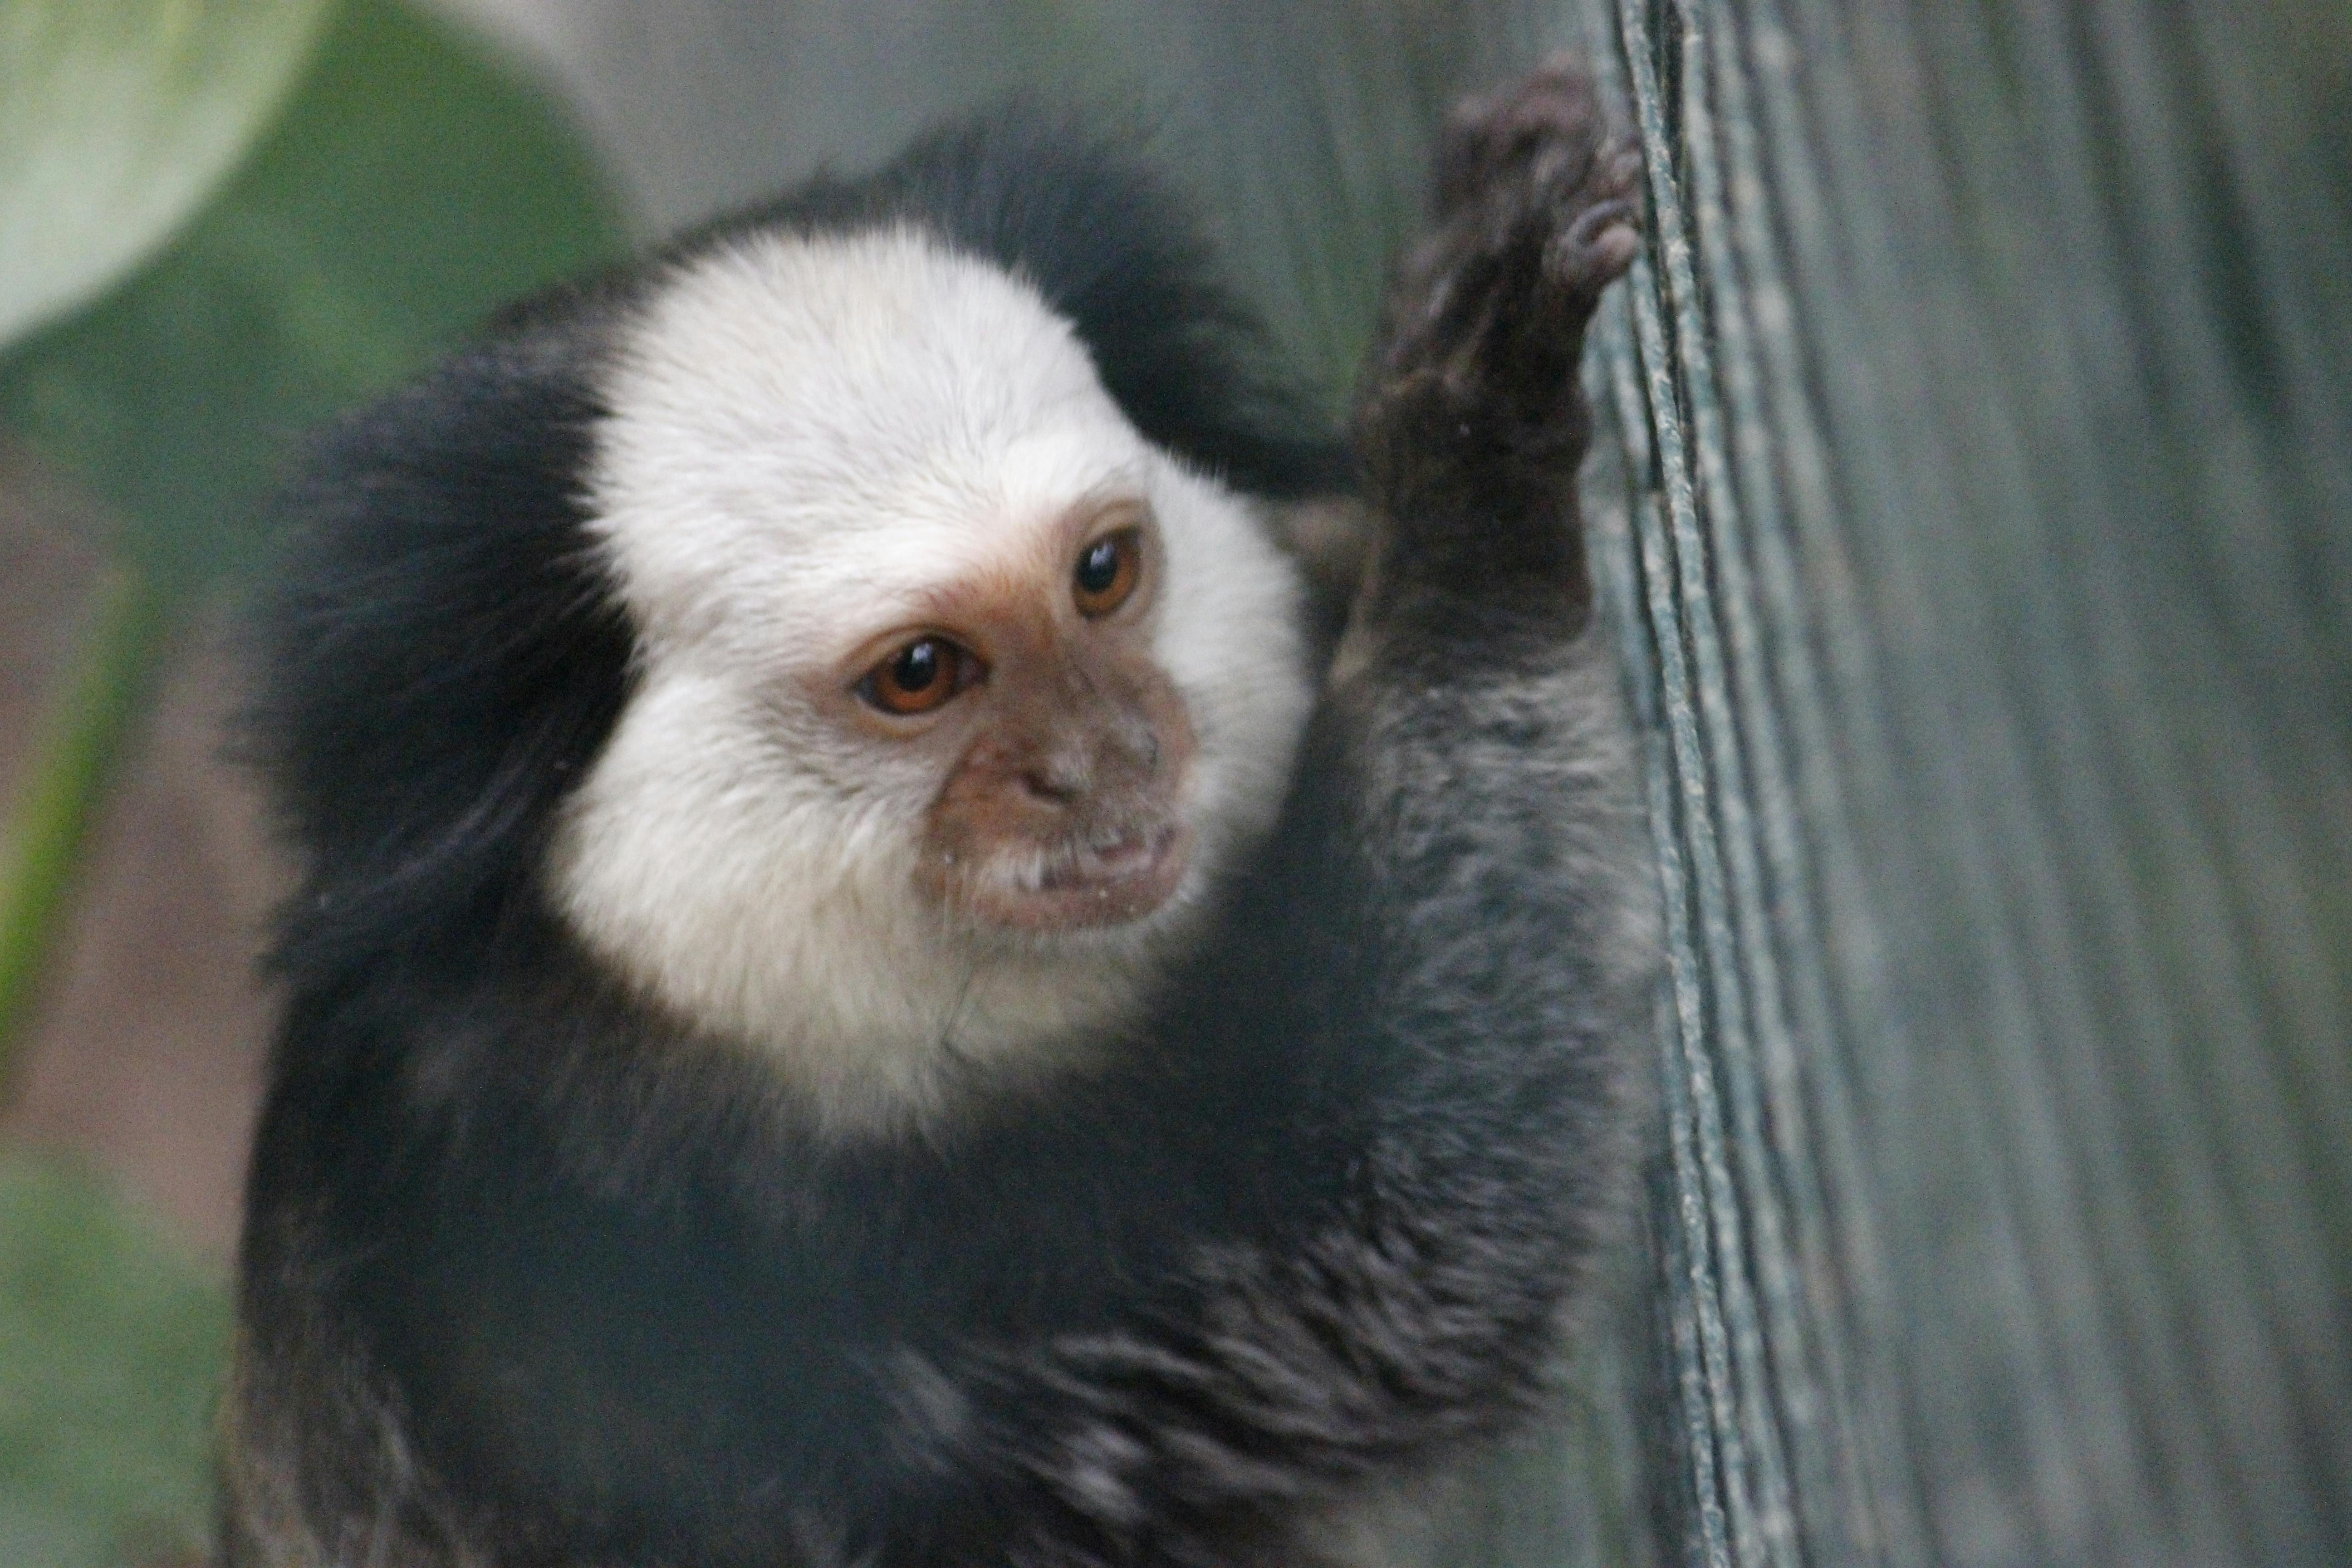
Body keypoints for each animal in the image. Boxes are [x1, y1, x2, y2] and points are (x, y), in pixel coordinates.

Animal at [222, 57, 1654, 1568]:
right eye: (920, 673)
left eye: (1101, 574)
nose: (1105, 757)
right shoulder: (635, 1271)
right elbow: (1392, 1242)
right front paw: (1470, 467)